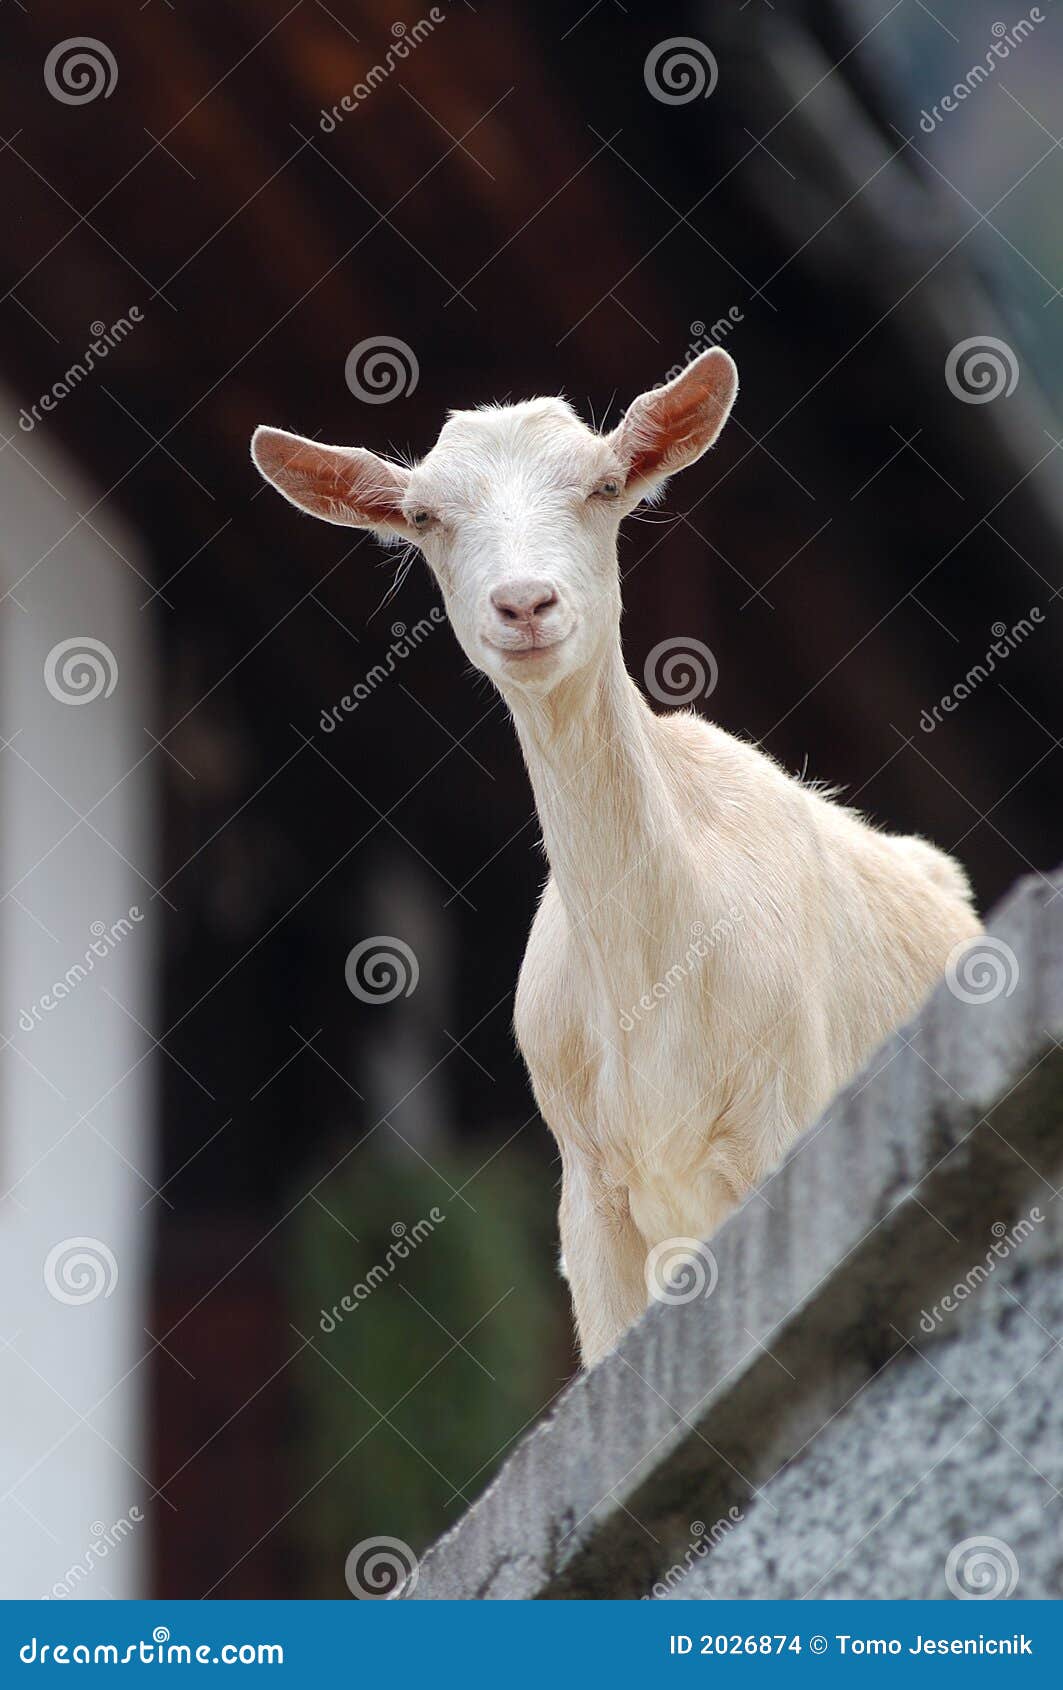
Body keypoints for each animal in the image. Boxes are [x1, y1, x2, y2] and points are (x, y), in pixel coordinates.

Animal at [252, 347, 982, 1366]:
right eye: (425, 516)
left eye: (603, 487)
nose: (524, 604)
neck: (655, 983)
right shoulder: (590, 1196)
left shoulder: (783, 1118)